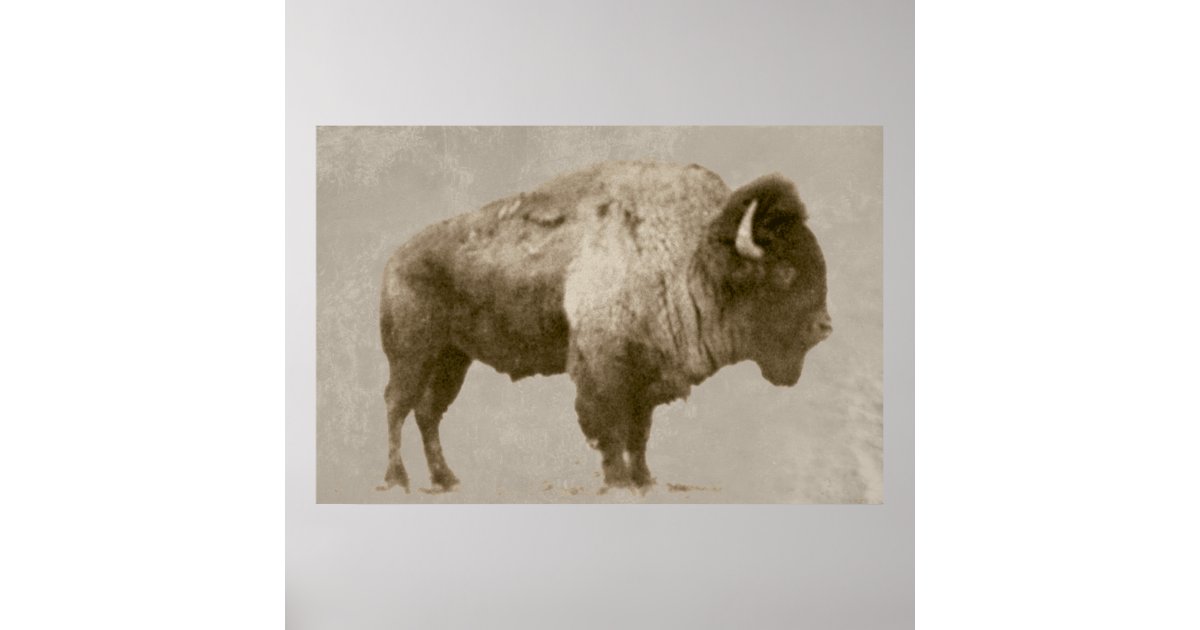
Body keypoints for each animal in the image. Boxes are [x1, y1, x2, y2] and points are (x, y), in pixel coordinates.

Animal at [377, 161, 831, 492]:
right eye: (784, 272)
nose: (824, 326)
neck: (691, 259)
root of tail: (397, 259)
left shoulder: (646, 377)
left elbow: (639, 433)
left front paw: (644, 480)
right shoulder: (603, 371)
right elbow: (610, 429)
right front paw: (619, 482)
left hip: (452, 359)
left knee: (428, 413)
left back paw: (446, 479)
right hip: (411, 354)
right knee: (397, 406)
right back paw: (397, 480)